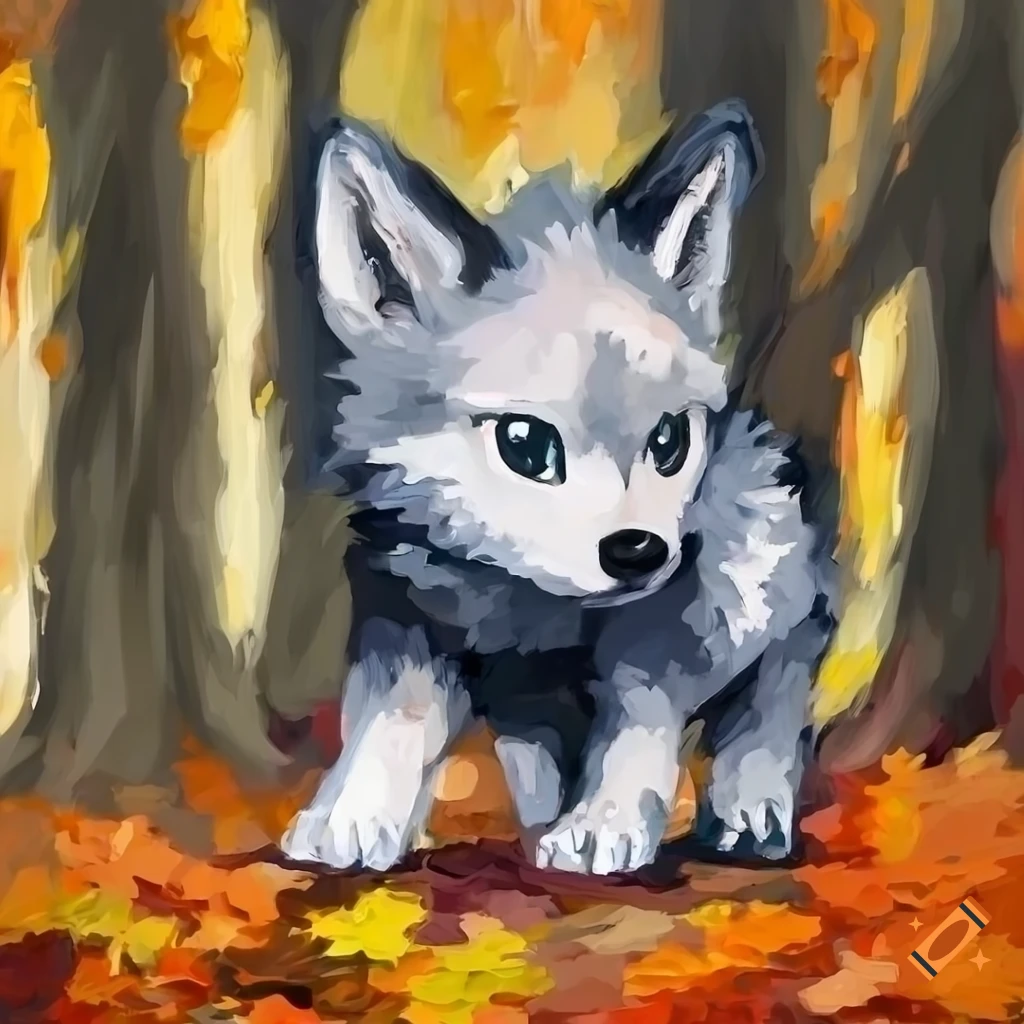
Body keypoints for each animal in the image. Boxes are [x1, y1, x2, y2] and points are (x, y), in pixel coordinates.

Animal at [280, 99, 838, 876]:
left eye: (669, 441)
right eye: (524, 444)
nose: (638, 552)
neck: (530, 612)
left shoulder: (655, 636)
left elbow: (638, 729)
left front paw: (604, 824)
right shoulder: (412, 617)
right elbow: (393, 721)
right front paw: (353, 817)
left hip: (769, 589)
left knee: (770, 699)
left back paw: (750, 810)